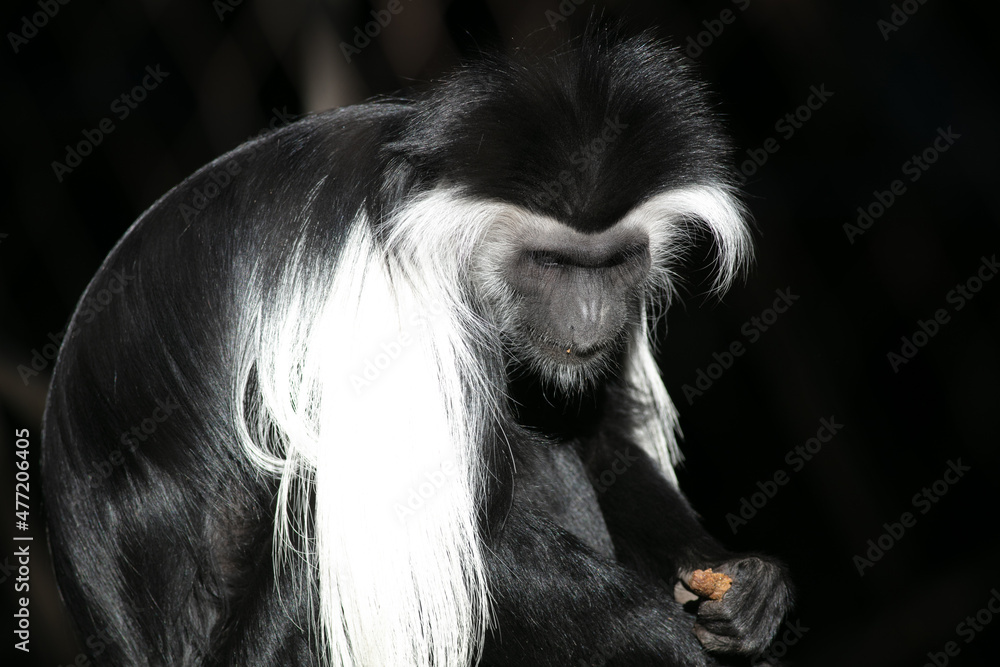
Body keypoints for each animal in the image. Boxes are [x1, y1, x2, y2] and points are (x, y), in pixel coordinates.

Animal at [41, 29, 793, 667]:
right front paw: (679, 644)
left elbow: (601, 439)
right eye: (551, 263)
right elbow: (440, 548)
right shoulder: (391, 305)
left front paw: (752, 590)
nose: (590, 320)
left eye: (612, 263)